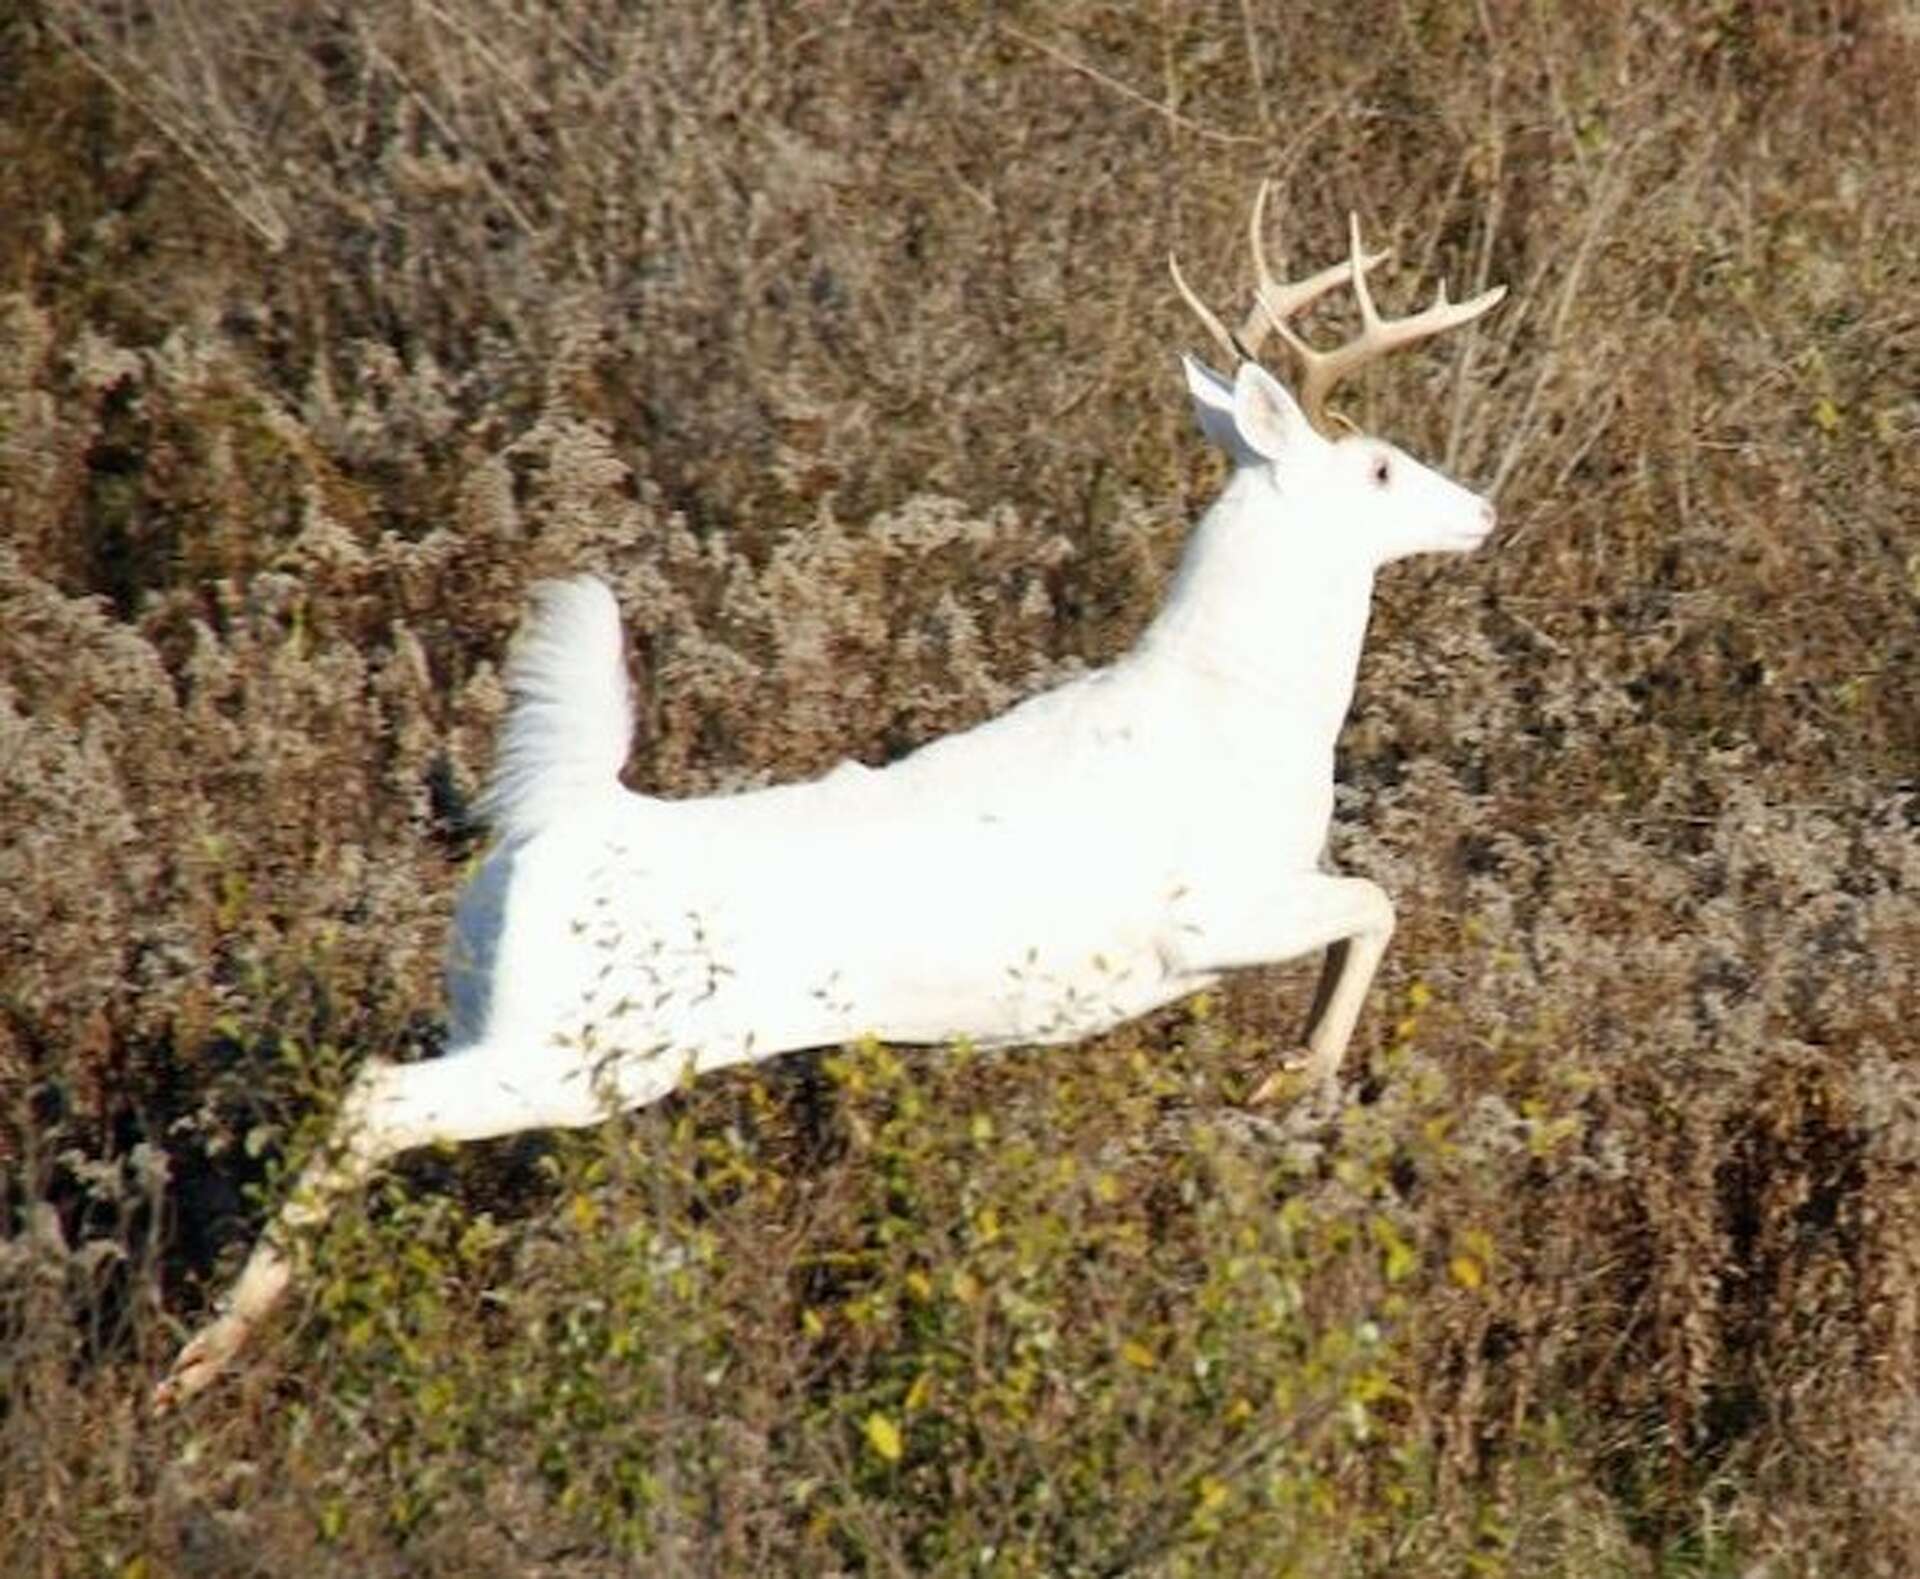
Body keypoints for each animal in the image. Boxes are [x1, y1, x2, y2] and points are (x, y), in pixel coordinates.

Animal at [155, 184, 1506, 1408]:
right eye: (1381, 467)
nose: (1483, 509)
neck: (1248, 704)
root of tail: (551, 827)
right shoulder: (1207, 915)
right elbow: (1377, 901)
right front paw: (1296, 1076)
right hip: (572, 1046)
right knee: (378, 1097)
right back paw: (201, 1357)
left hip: (513, 1020)